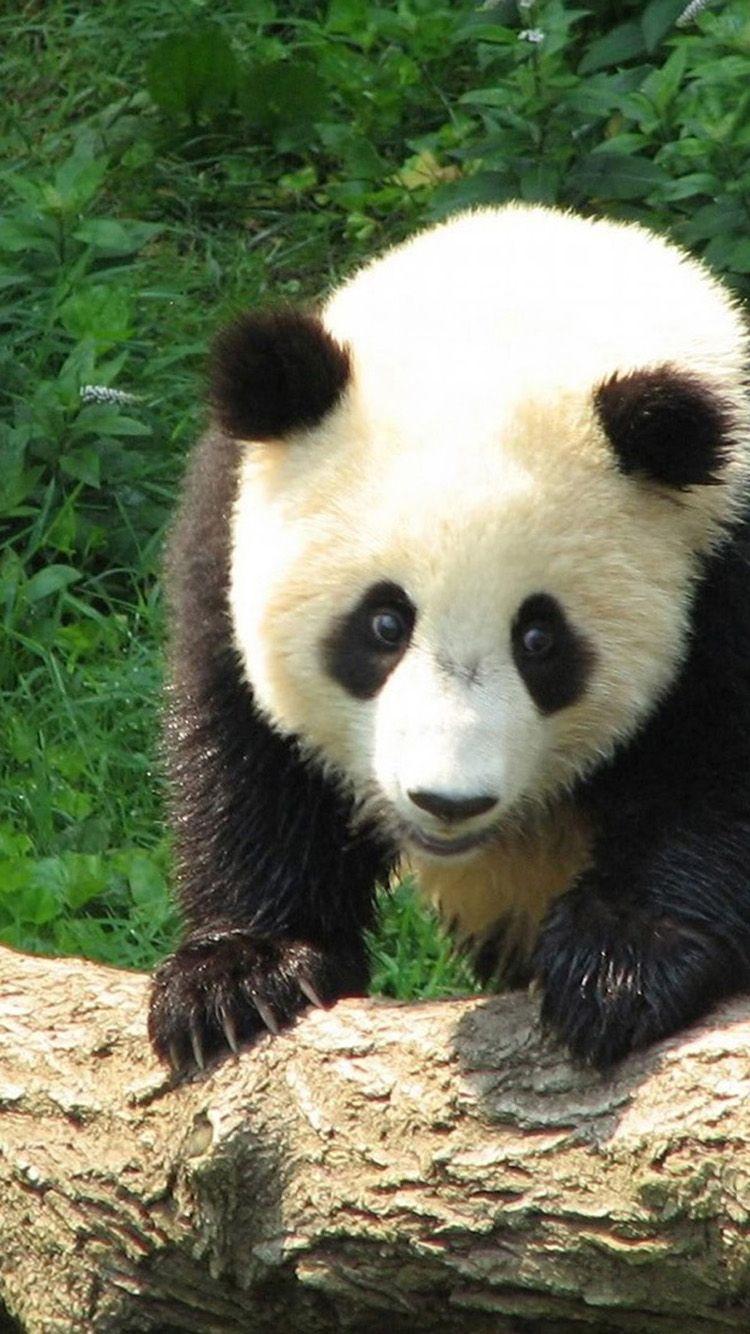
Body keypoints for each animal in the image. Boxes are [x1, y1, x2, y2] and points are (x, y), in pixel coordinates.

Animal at [149, 203, 750, 1075]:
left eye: (540, 639)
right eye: (384, 624)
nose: (447, 800)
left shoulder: (727, 553)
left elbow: (721, 773)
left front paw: (618, 963)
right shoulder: (224, 532)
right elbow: (242, 748)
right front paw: (239, 978)